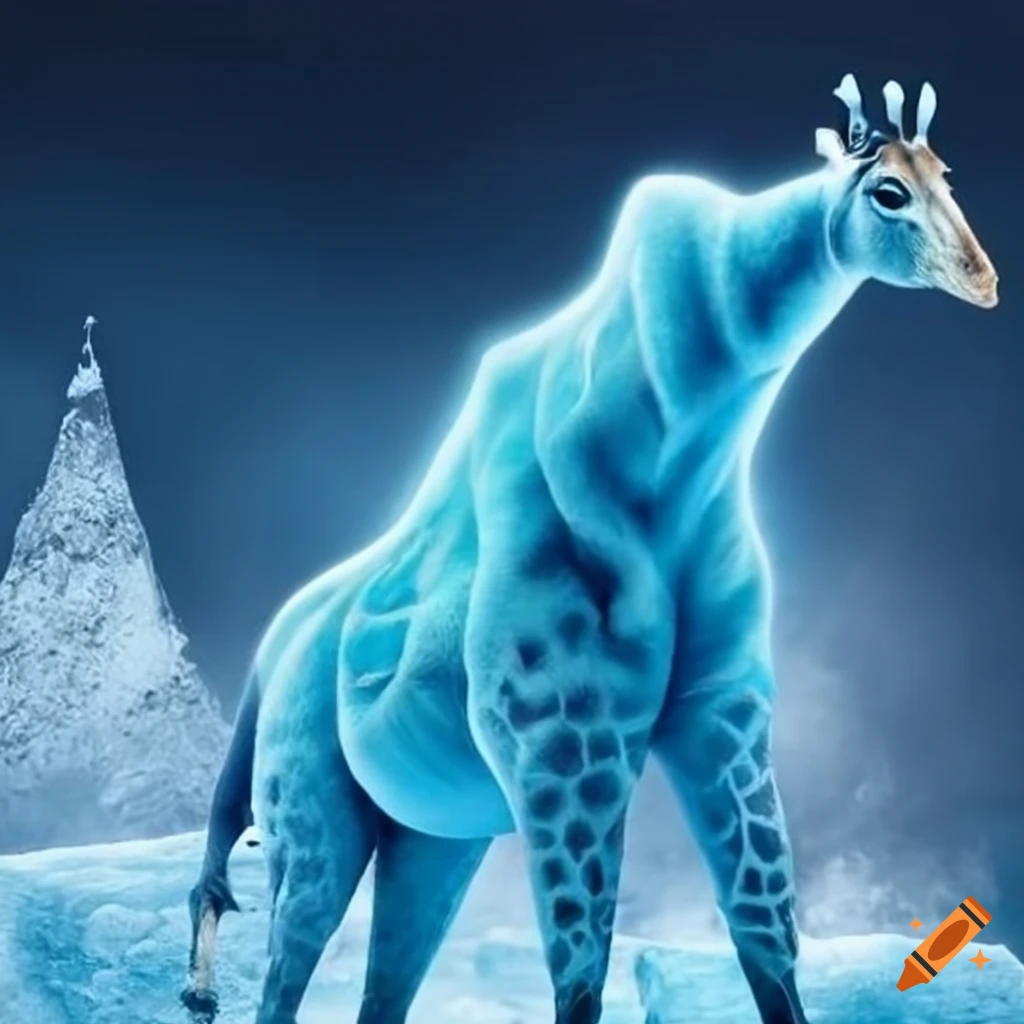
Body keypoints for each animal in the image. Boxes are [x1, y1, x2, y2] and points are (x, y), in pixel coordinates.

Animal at [182, 74, 998, 1024]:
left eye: (948, 176)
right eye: (889, 193)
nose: (984, 278)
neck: (681, 421)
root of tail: (270, 654)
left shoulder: (723, 713)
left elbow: (767, 934)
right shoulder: (566, 737)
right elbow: (580, 975)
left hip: (430, 835)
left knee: (381, 984)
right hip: (312, 802)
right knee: (286, 966)